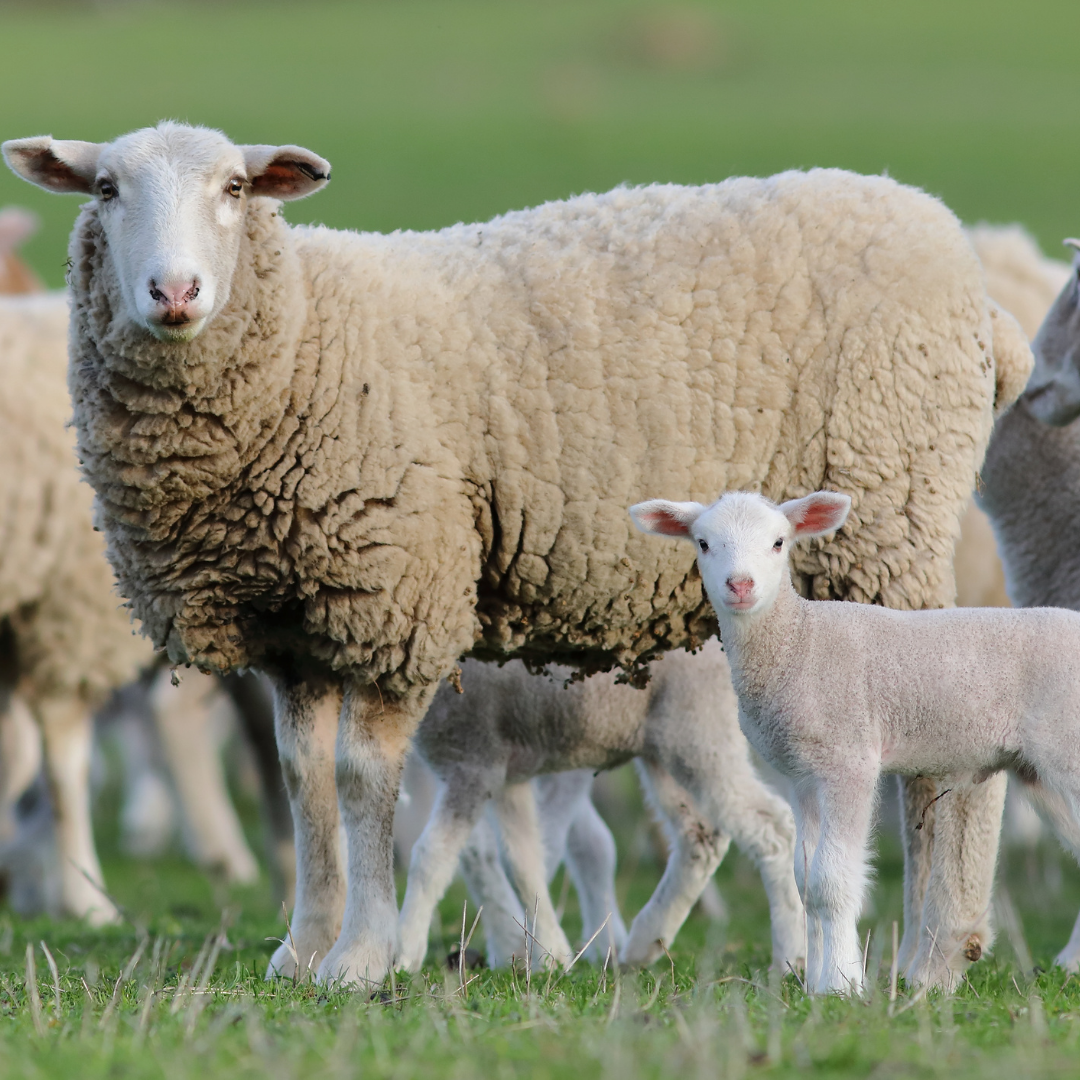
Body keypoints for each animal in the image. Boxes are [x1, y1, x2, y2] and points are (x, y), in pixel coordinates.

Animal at [399, 640, 803, 972]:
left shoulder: (474, 764)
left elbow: (432, 856)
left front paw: (404, 952)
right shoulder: (506, 777)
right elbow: (522, 860)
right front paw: (547, 952)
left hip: (699, 731)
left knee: (773, 827)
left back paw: (790, 956)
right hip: (665, 748)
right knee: (701, 833)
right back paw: (645, 942)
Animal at [631, 489, 1080, 993]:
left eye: (778, 542)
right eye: (703, 543)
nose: (740, 585)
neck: (799, 641)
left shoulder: (849, 759)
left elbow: (832, 880)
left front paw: (842, 983)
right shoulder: (803, 775)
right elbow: (805, 880)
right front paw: (813, 983)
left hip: (1068, 745)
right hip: (1037, 769)